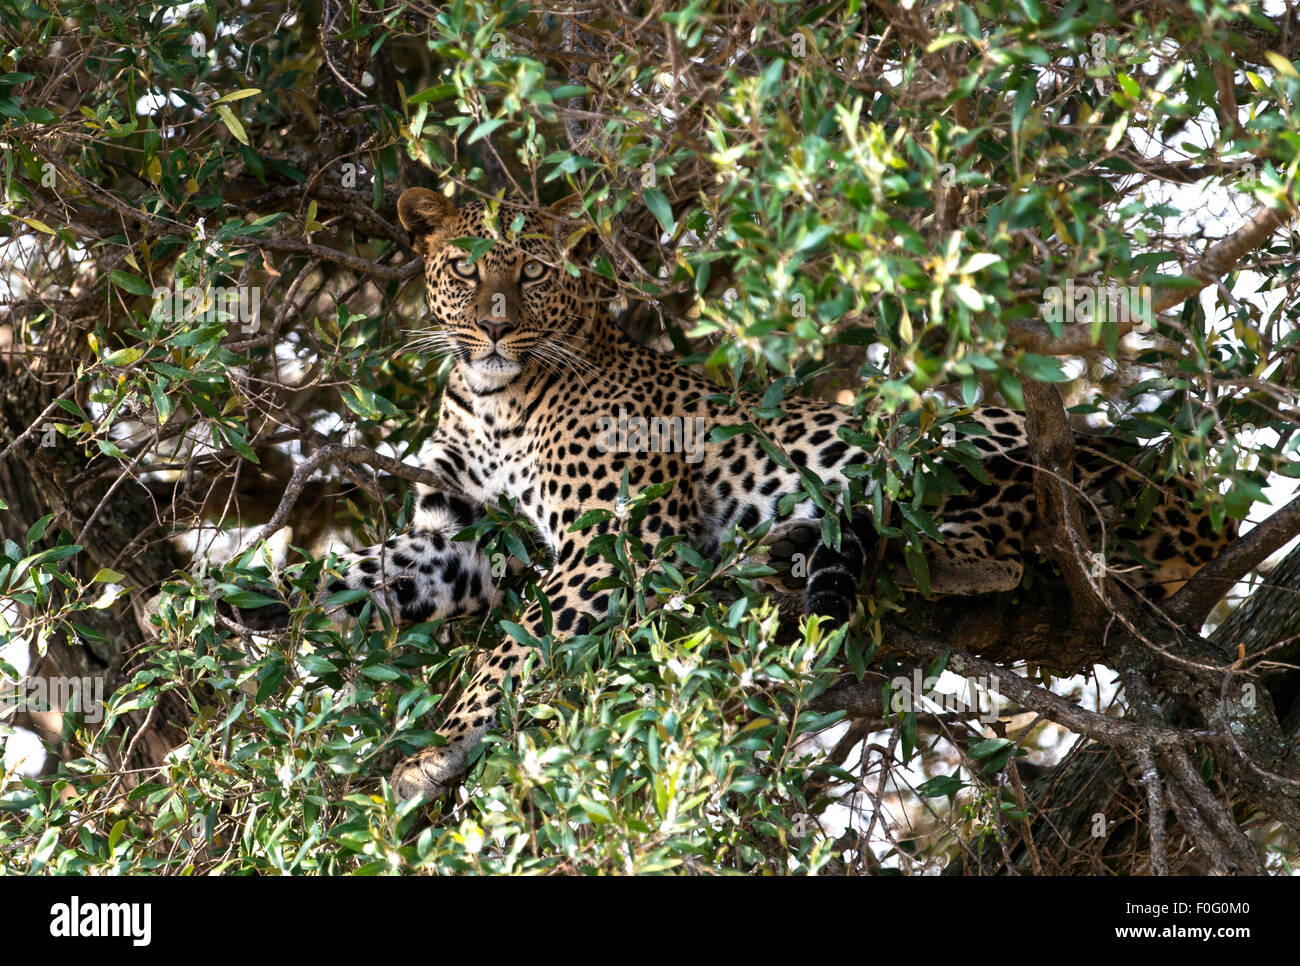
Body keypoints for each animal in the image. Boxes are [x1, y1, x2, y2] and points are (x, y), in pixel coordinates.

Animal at [320, 184, 1236, 802]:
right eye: (465, 267)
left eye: (535, 270)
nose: (496, 325)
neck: (493, 395)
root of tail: (1191, 498)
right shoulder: (456, 534)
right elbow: (351, 576)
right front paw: (294, 613)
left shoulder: (616, 542)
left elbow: (508, 650)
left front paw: (432, 750)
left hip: (960, 434)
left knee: (1001, 528)